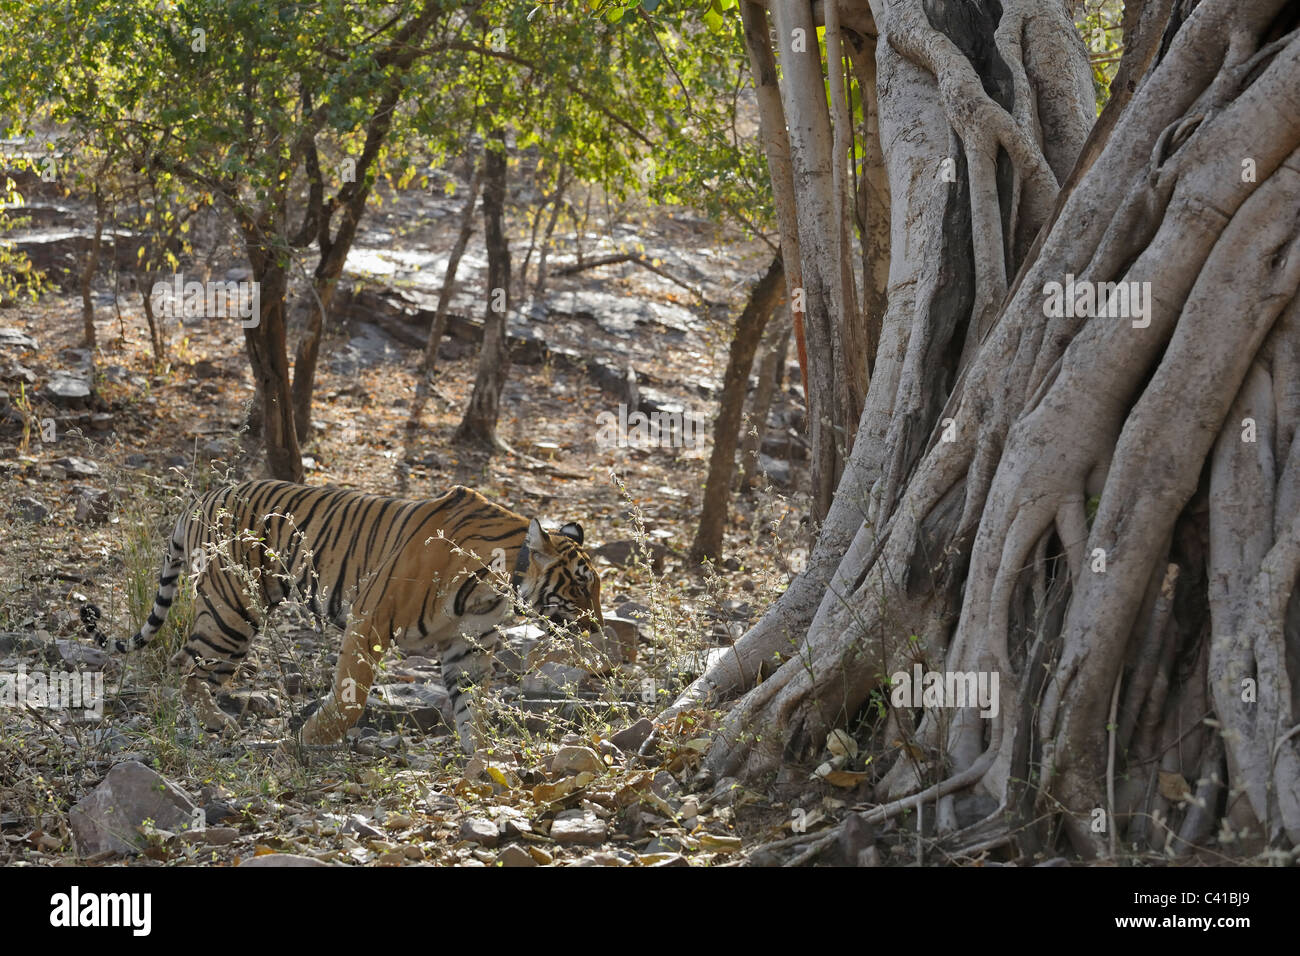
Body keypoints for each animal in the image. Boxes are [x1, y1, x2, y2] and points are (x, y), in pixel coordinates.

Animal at [80, 479, 604, 752]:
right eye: (582, 584)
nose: (599, 626)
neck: (497, 585)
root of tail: (201, 498)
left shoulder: (467, 649)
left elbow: (473, 709)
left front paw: (482, 762)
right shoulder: (370, 619)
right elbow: (350, 700)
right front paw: (306, 738)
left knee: (191, 668)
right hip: (233, 610)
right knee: (186, 667)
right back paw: (212, 724)